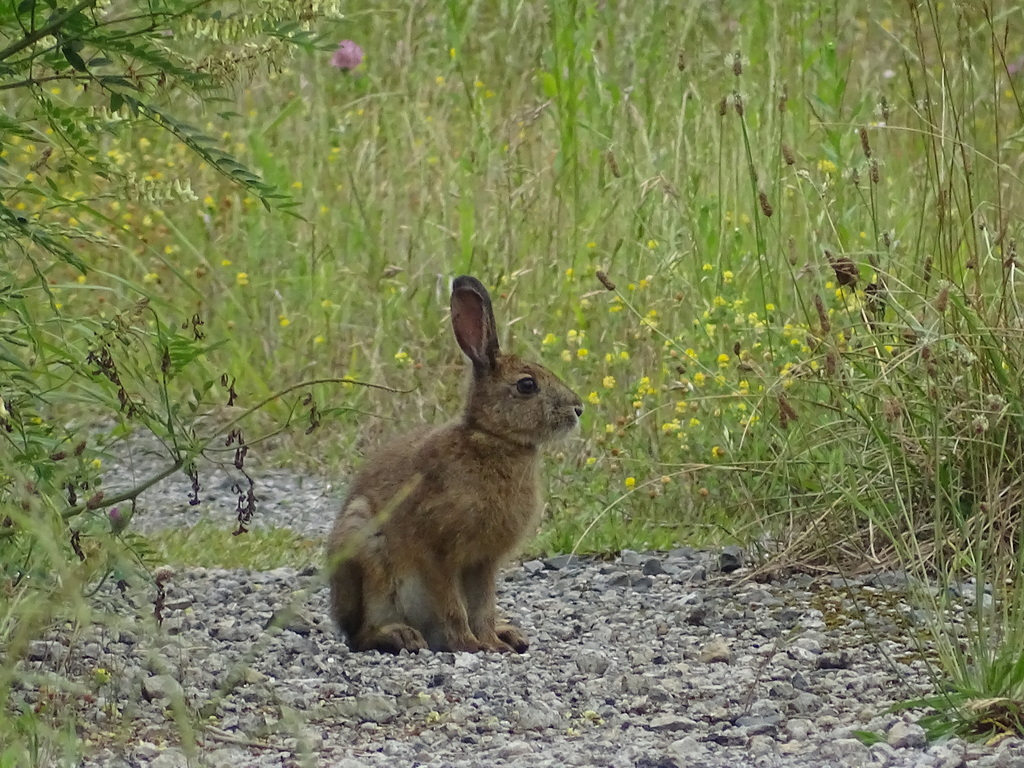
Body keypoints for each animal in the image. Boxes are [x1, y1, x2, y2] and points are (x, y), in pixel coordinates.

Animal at [327, 275, 583, 654]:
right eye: (526, 385)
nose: (578, 409)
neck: (492, 438)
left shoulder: (483, 563)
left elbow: (483, 607)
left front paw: (492, 643)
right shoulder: (438, 553)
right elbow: (453, 606)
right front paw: (470, 644)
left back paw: (511, 634)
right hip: (365, 547)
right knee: (362, 632)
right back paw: (400, 635)